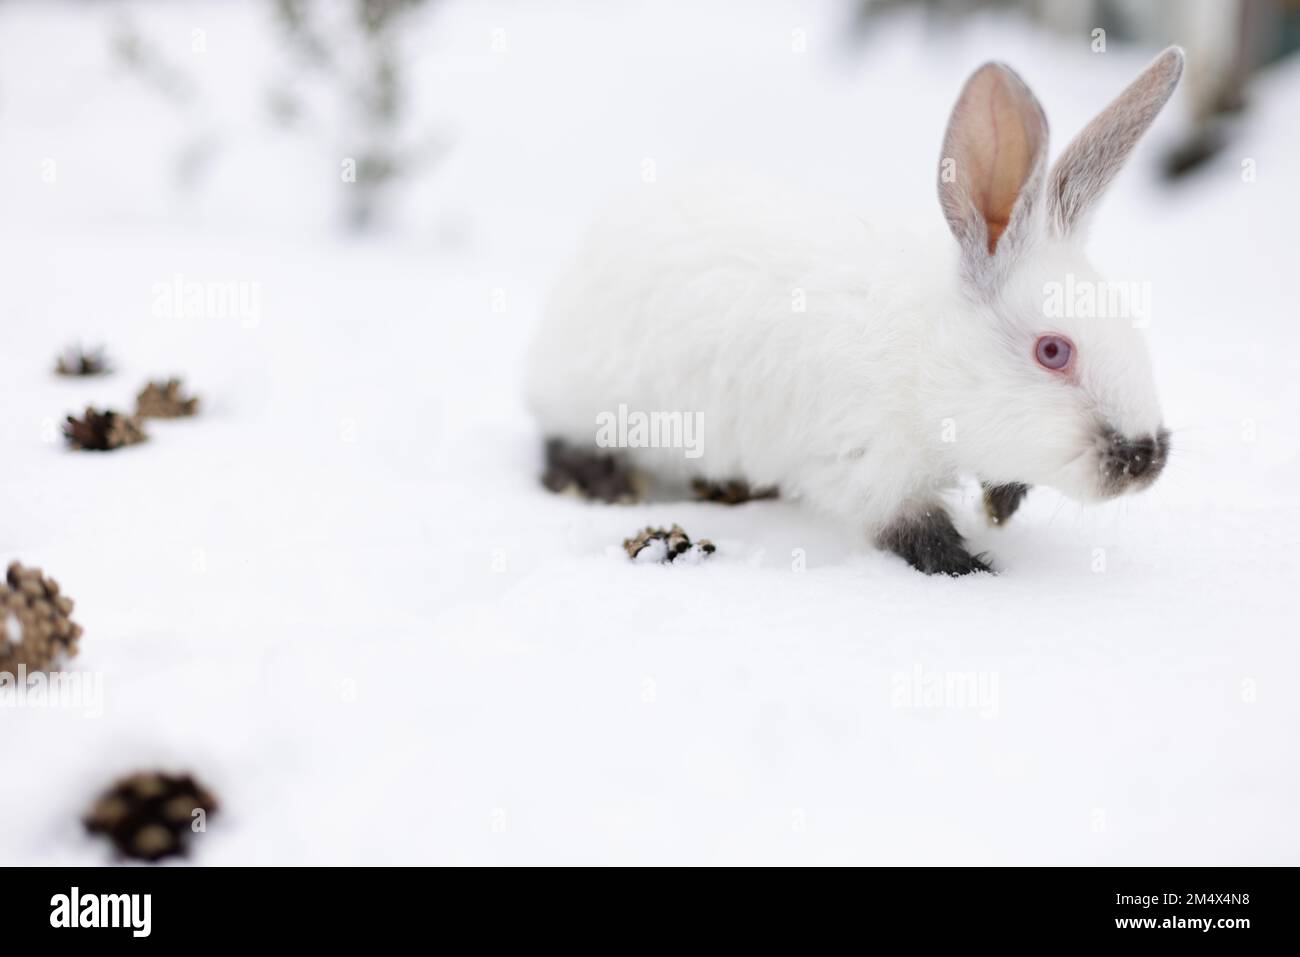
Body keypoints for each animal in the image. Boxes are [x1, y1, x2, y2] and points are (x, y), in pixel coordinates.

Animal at [526, 47, 1184, 575]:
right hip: (601, 401)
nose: (1148, 459)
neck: (927, 360)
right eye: (1052, 351)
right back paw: (609, 486)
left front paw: (999, 507)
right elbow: (915, 534)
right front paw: (975, 570)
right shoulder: (872, 471)